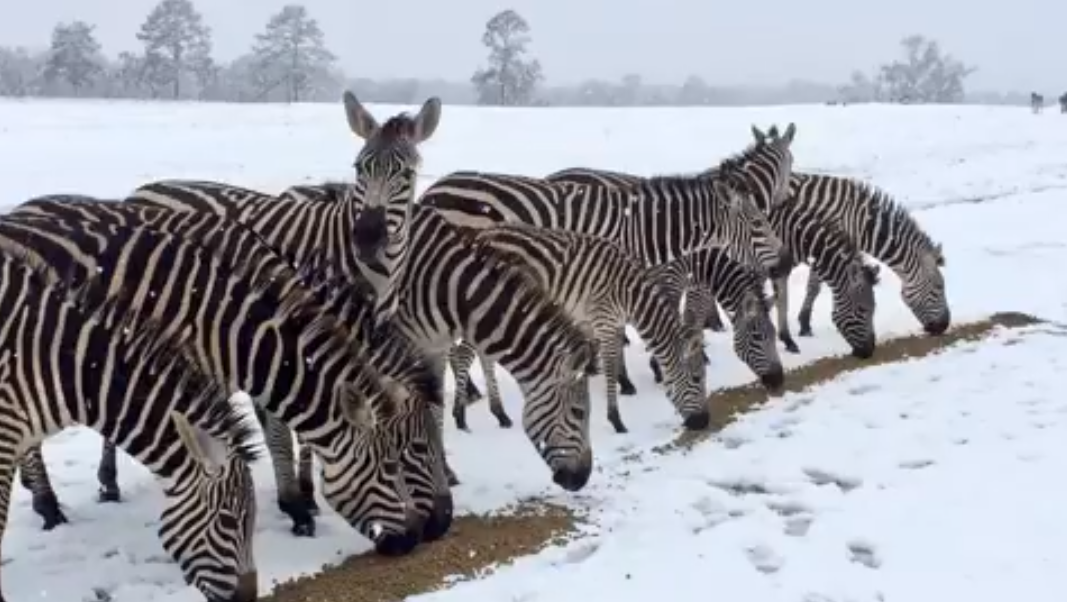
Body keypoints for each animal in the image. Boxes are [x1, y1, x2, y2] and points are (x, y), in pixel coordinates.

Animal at [9, 195, 455, 546]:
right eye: (410, 452)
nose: (441, 525)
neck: (227, 319)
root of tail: (20, 210)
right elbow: (269, 433)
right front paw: (295, 508)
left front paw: (297, 501)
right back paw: (49, 507)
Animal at [452, 222, 708, 435]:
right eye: (697, 378)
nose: (703, 423)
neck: (630, 295)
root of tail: (481, 233)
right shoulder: (604, 321)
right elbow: (610, 366)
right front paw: (616, 419)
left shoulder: (610, 324)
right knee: (462, 355)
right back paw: (461, 417)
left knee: (484, 356)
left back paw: (500, 414)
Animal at [643, 246, 784, 388]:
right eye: (757, 337)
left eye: (774, 334)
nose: (778, 381)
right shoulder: (672, 279)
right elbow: (681, 316)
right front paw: (661, 365)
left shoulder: (691, 281)